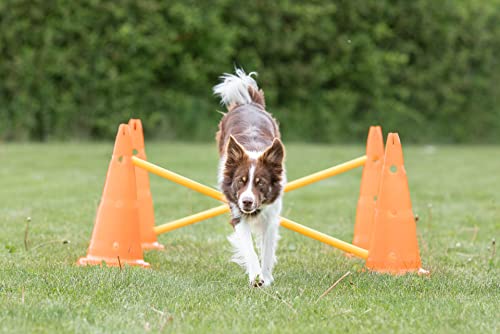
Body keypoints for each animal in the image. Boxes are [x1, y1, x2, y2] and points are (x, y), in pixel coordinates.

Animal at [214, 68, 288, 288]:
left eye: (260, 183)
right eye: (241, 181)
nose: (247, 202)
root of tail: (247, 103)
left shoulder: (272, 216)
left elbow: (267, 249)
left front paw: (266, 277)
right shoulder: (237, 213)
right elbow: (249, 248)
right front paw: (256, 277)